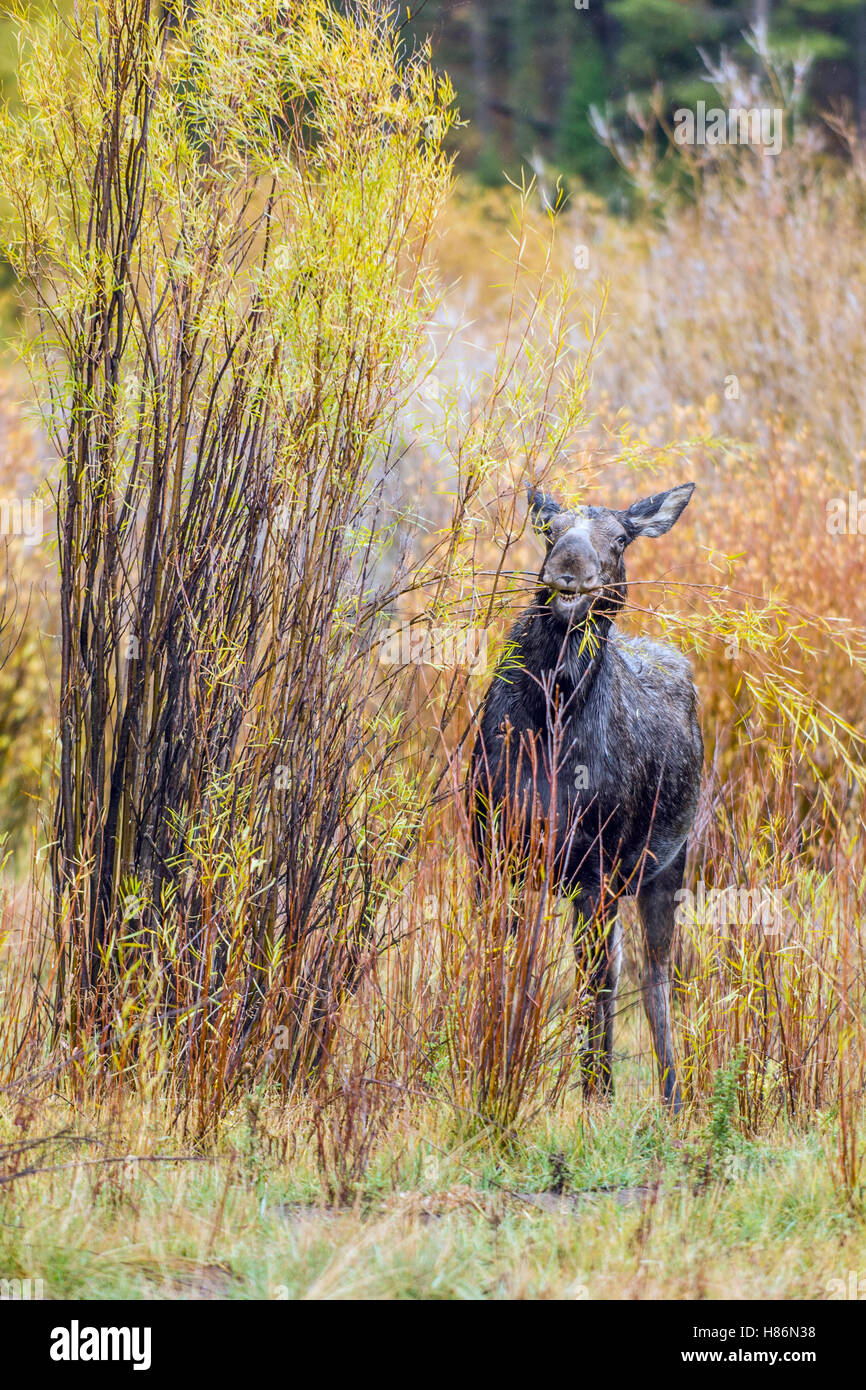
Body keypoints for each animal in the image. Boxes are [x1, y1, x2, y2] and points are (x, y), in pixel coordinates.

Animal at [469, 482, 702, 1113]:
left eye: (620, 538)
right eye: (549, 530)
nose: (569, 570)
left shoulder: (595, 869)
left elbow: (591, 985)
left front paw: (596, 1098)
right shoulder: (492, 853)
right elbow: (503, 966)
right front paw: (490, 1072)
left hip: (663, 868)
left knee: (650, 975)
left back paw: (670, 1097)